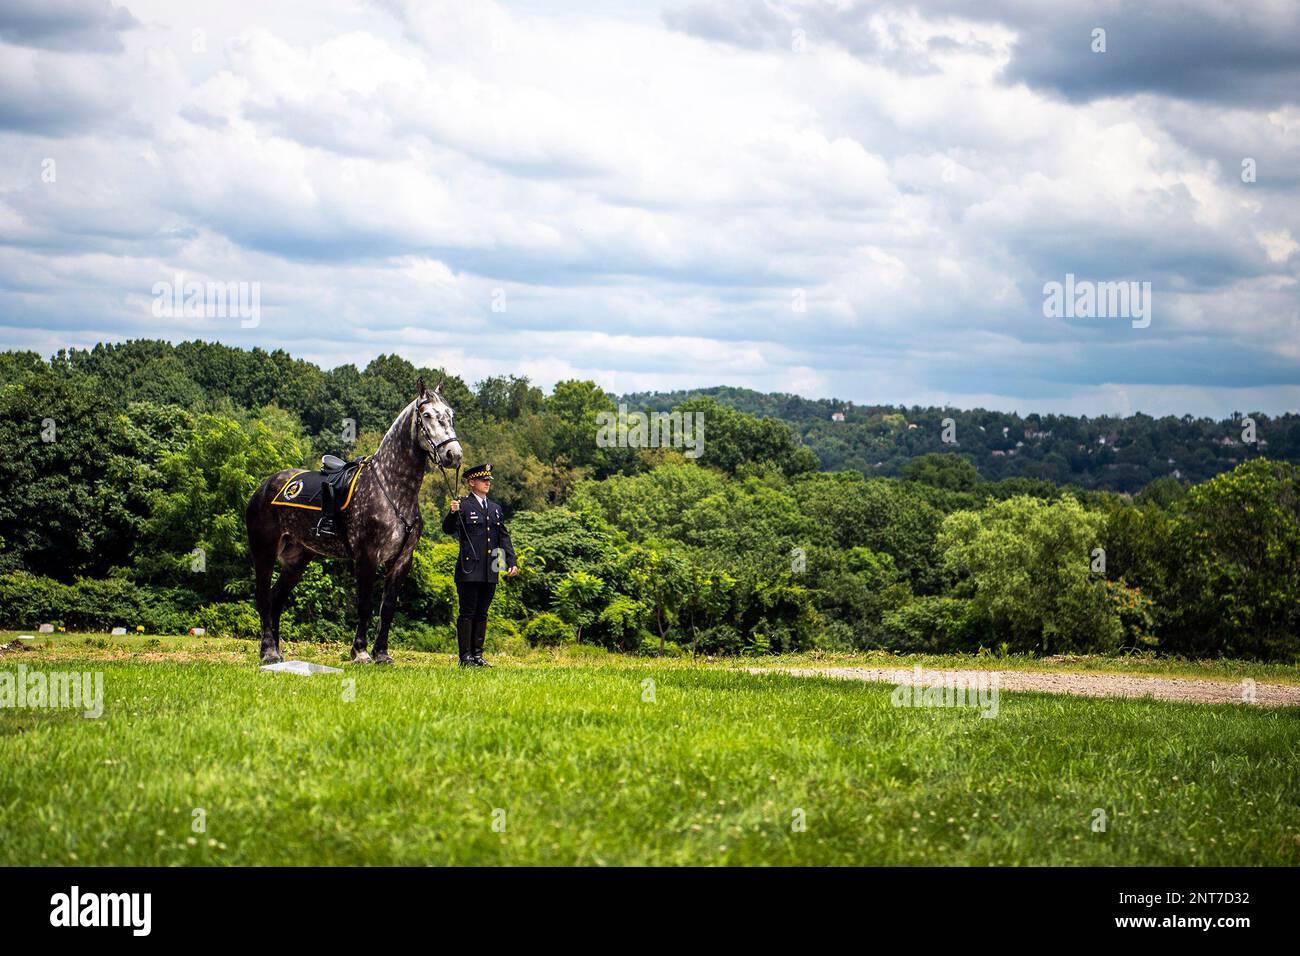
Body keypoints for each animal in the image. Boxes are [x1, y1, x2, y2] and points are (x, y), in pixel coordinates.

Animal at [244, 378, 462, 665]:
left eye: (450, 414)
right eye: (426, 415)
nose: (453, 455)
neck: (391, 488)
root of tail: (264, 487)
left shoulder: (402, 559)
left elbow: (387, 607)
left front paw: (382, 654)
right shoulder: (366, 556)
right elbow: (365, 605)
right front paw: (360, 652)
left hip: (297, 558)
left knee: (276, 599)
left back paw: (276, 651)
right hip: (264, 551)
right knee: (263, 597)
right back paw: (269, 652)